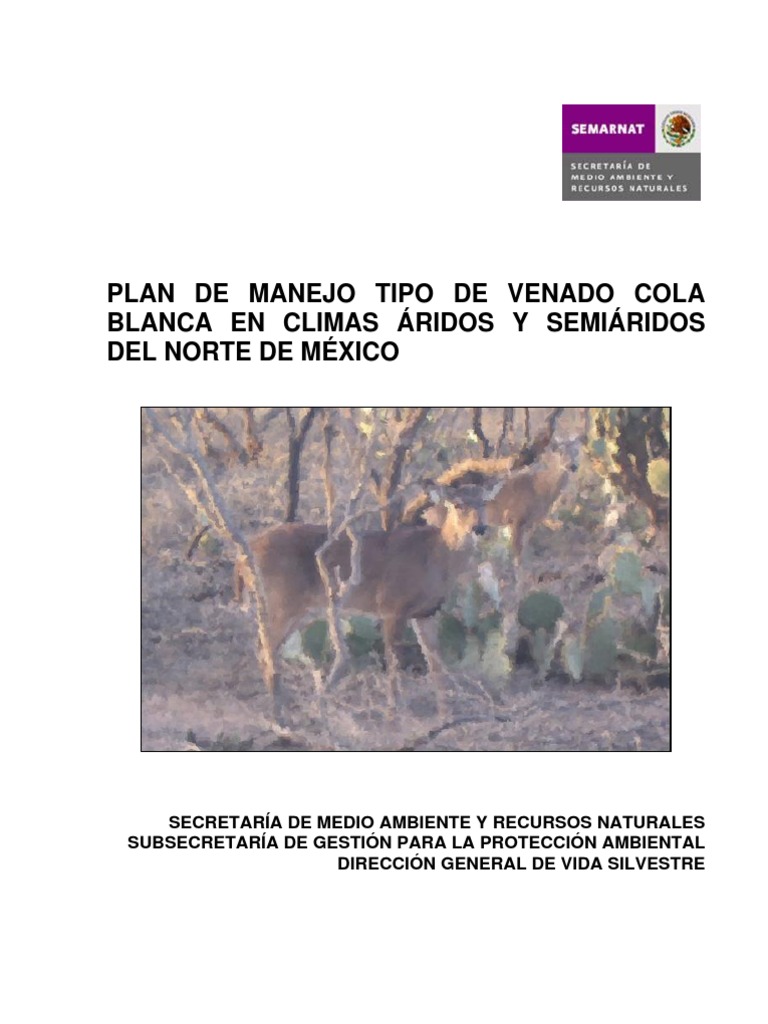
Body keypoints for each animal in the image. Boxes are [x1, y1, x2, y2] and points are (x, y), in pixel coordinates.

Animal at [234, 487, 488, 708]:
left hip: (295, 610)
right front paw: (395, 710)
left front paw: (445, 711)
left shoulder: (426, 612)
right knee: (264, 648)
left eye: (486, 502)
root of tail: (244, 554)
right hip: (281, 602)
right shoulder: (392, 606)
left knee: (266, 647)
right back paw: (279, 704)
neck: (436, 557)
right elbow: (393, 661)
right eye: (458, 504)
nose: (479, 528)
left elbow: (435, 662)